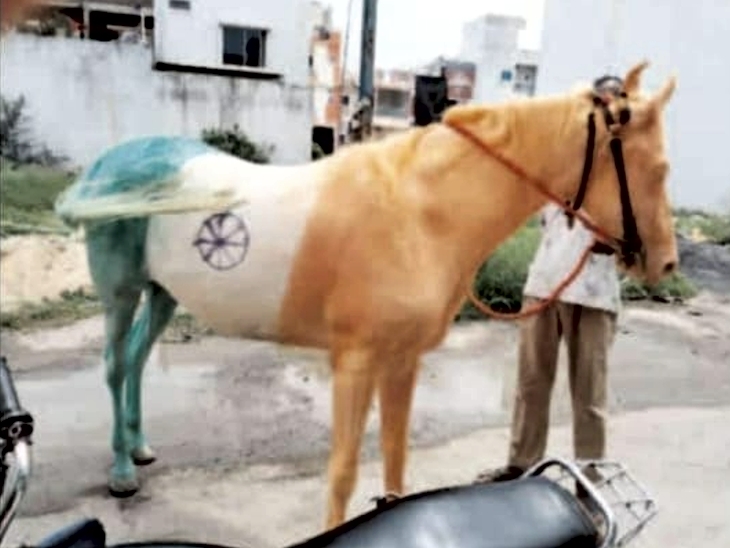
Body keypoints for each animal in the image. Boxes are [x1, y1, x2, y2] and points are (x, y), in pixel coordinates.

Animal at [54, 61, 678, 530]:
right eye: (658, 167)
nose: (665, 263)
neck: (419, 213)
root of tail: (105, 167)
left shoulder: (401, 360)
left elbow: (395, 459)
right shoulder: (354, 362)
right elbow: (344, 472)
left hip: (162, 293)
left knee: (137, 360)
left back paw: (138, 447)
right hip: (121, 294)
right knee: (115, 365)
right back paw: (122, 473)